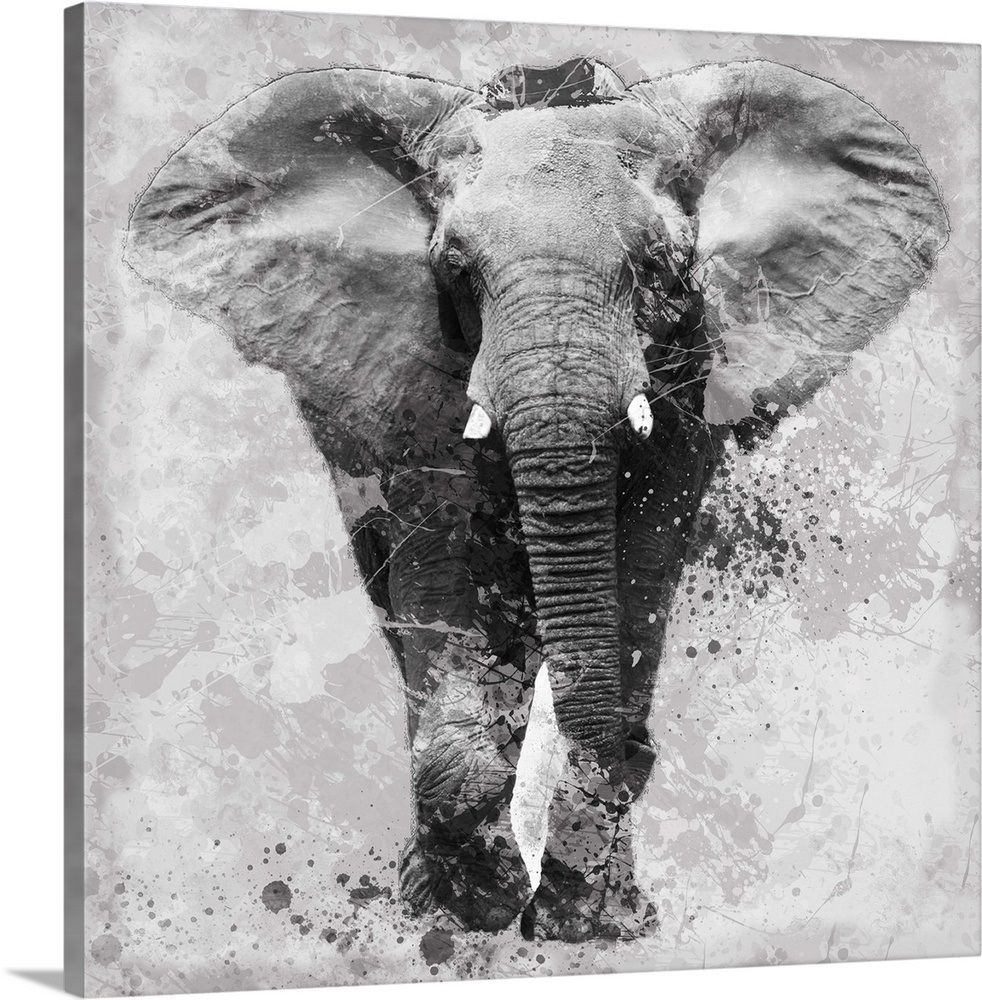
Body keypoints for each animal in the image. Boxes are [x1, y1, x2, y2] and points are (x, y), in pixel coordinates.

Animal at [124, 55, 947, 942]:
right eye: (455, 267)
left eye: (659, 266)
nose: (635, 757)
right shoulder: (416, 366)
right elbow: (439, 554)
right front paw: (465, 895)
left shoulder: (694, 359)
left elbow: (643, 557)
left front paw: (588, 913)